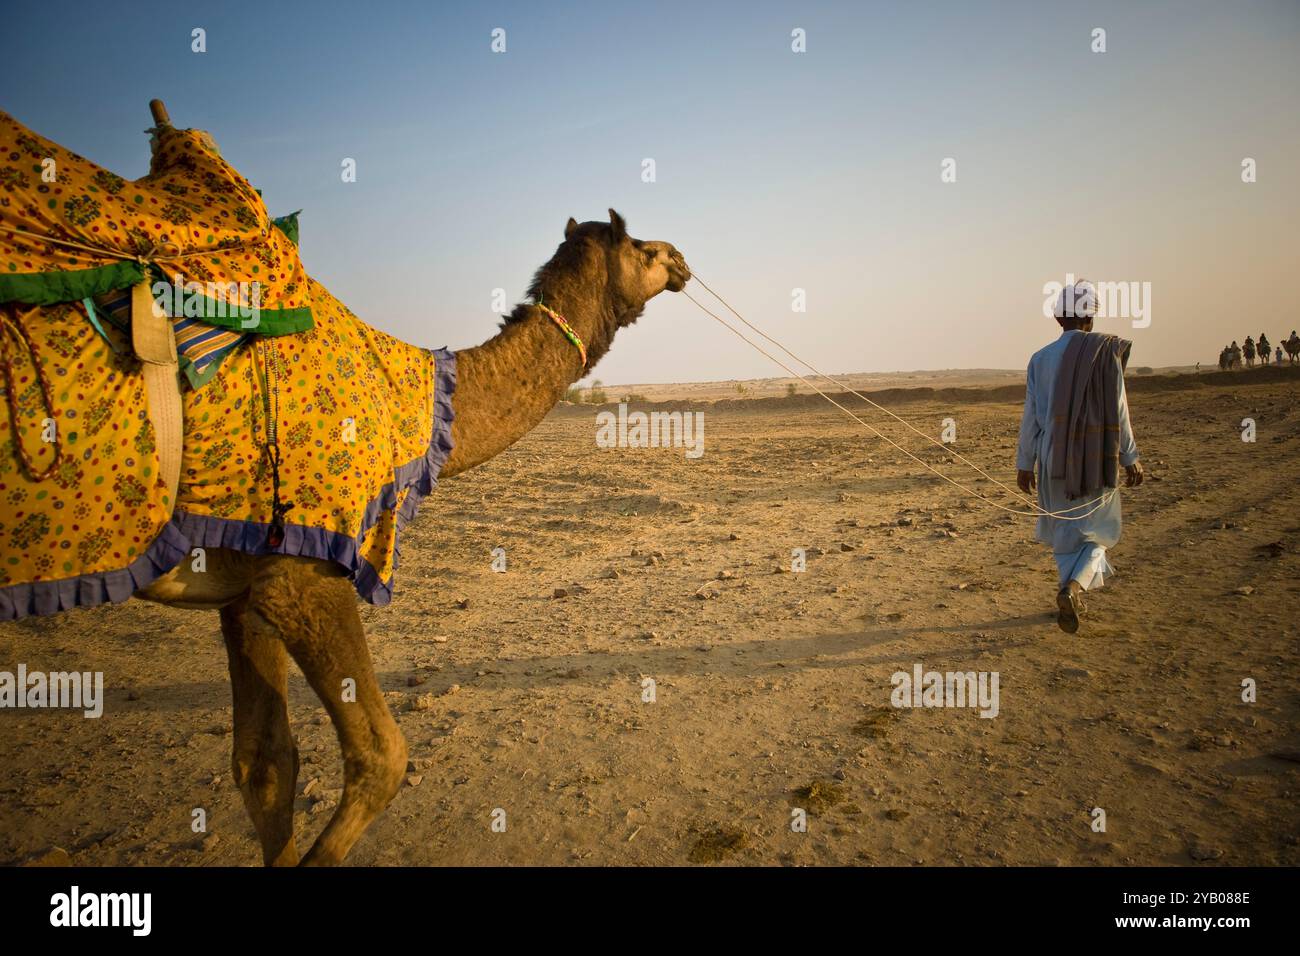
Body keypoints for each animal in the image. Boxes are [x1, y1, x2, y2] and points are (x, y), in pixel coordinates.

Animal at [131, 210, 690, 865]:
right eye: (643, 248)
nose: (681, 259)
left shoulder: (244, 585)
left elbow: (265, 765)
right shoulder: (301, 572)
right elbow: (382, 758)